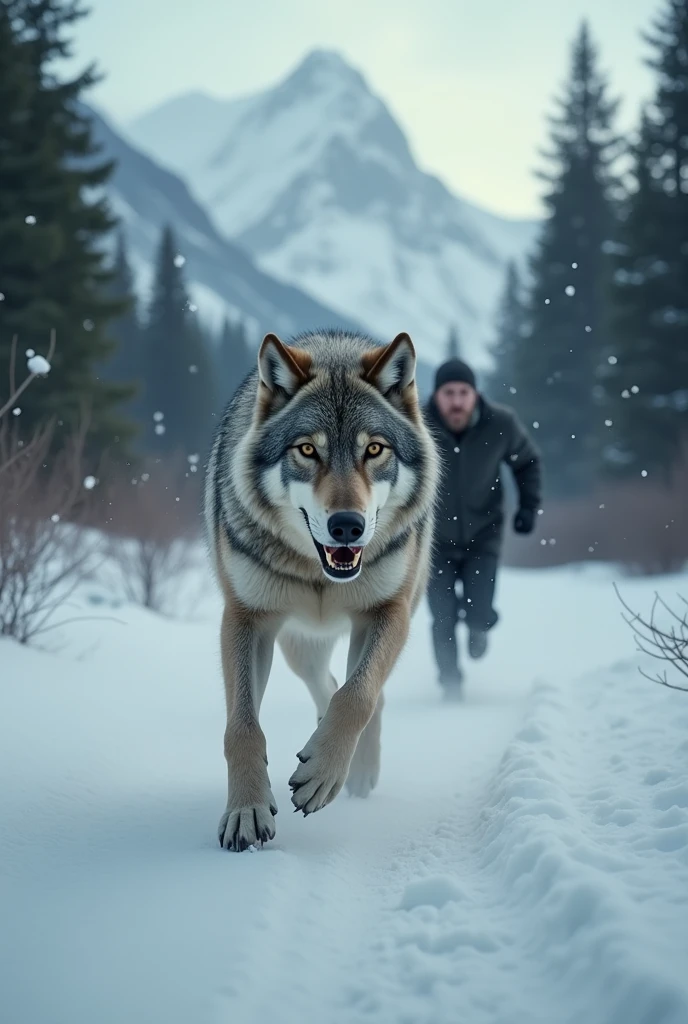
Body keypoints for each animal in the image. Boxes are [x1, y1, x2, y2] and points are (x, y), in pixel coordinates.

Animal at [203, 329, 439, 851]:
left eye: (374, 450)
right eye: (308, 450)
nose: (347, 526)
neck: (320, 576)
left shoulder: (389, 611)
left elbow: (358, 698)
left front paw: (323, 775)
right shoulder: (245, 617)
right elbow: (240, 728)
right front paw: (246, 811)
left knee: (360, 691)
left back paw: (355, 772)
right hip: (299, 649)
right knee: (326, 685)